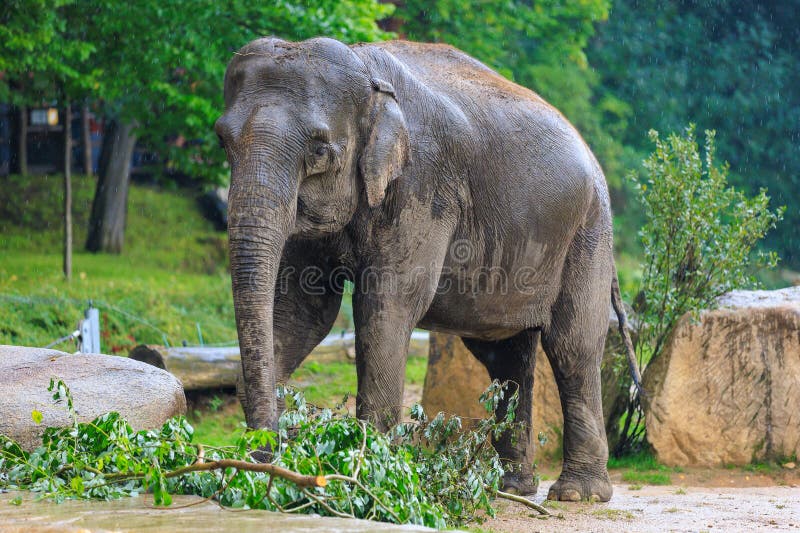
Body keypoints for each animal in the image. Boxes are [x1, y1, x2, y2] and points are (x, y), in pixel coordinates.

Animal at [215, 36, 642, 502]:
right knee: (506, 357)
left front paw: (370, 481)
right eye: (222, 141)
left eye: (319, 151)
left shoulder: (424, 186)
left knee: (572, 349)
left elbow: (387, 307)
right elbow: (303, 311)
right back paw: (511, 487)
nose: (264, 458)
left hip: (588, 232)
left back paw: (577, 494)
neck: (367, 72)